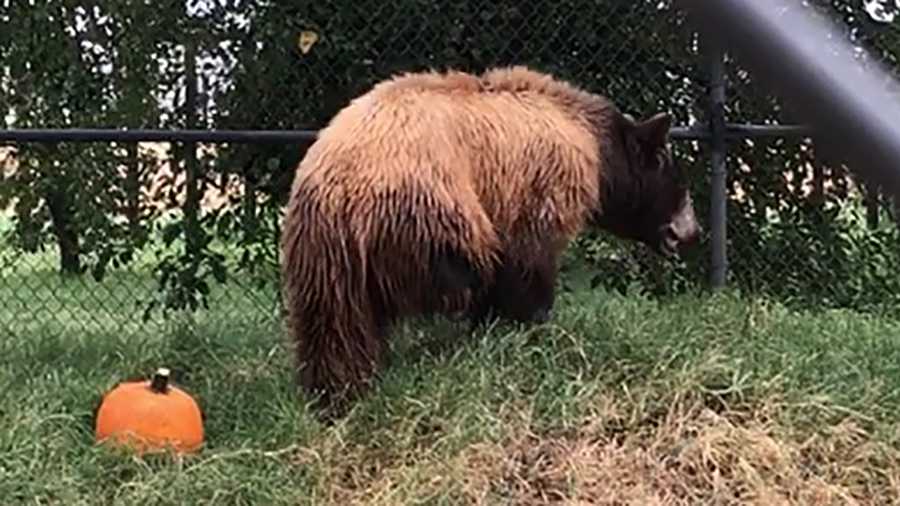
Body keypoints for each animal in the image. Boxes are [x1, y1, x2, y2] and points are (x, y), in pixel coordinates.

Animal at [280, 65, 701, 408]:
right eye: (672, 173)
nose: (691, 231)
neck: (592, 142)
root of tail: (338, 190)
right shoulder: (537, 182)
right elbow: (528, 261)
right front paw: (523, 324)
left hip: (322, 256)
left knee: (335, 325)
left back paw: (338, 388)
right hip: (425, 215)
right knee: (464, 272)